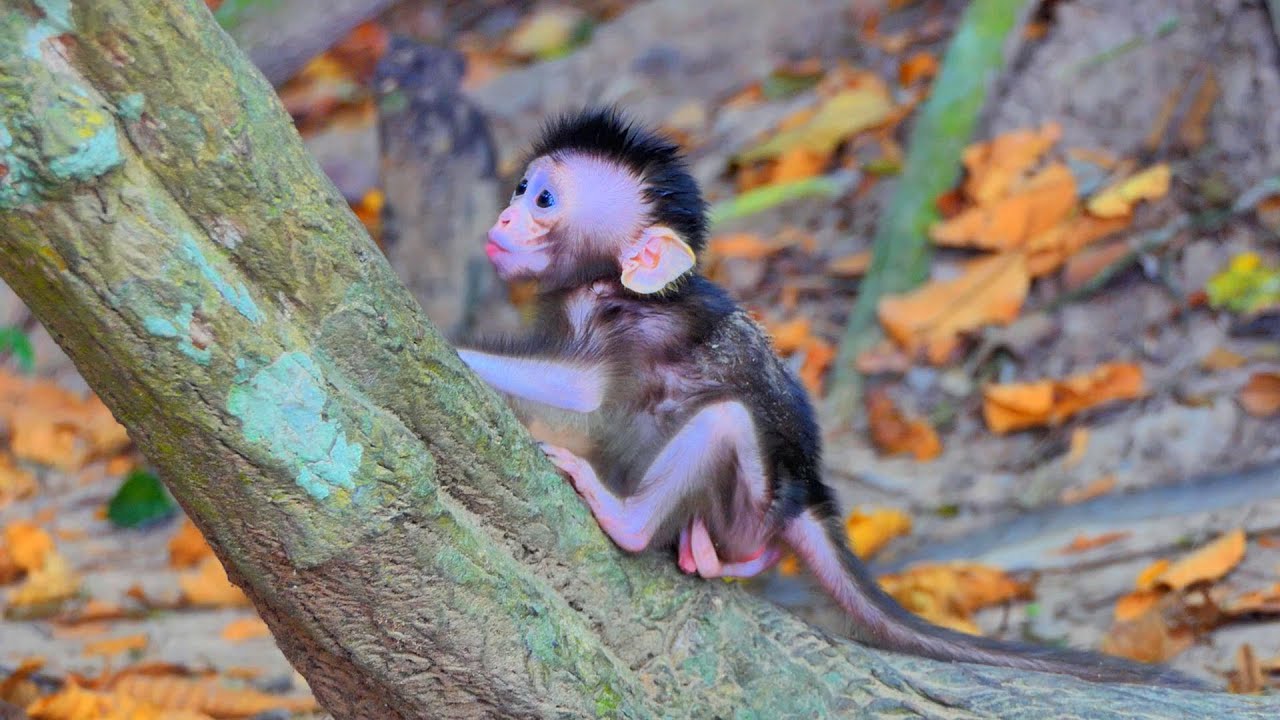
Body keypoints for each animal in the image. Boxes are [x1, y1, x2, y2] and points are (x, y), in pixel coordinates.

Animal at [456, 108, 1204, 689]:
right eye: (522, 187)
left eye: (544, 201)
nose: (505, 214)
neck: (606, 288)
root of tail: (803, 493)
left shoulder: (641, 327)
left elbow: (584, 389)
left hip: (748, 504)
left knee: (722, 422)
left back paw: (632, 522)